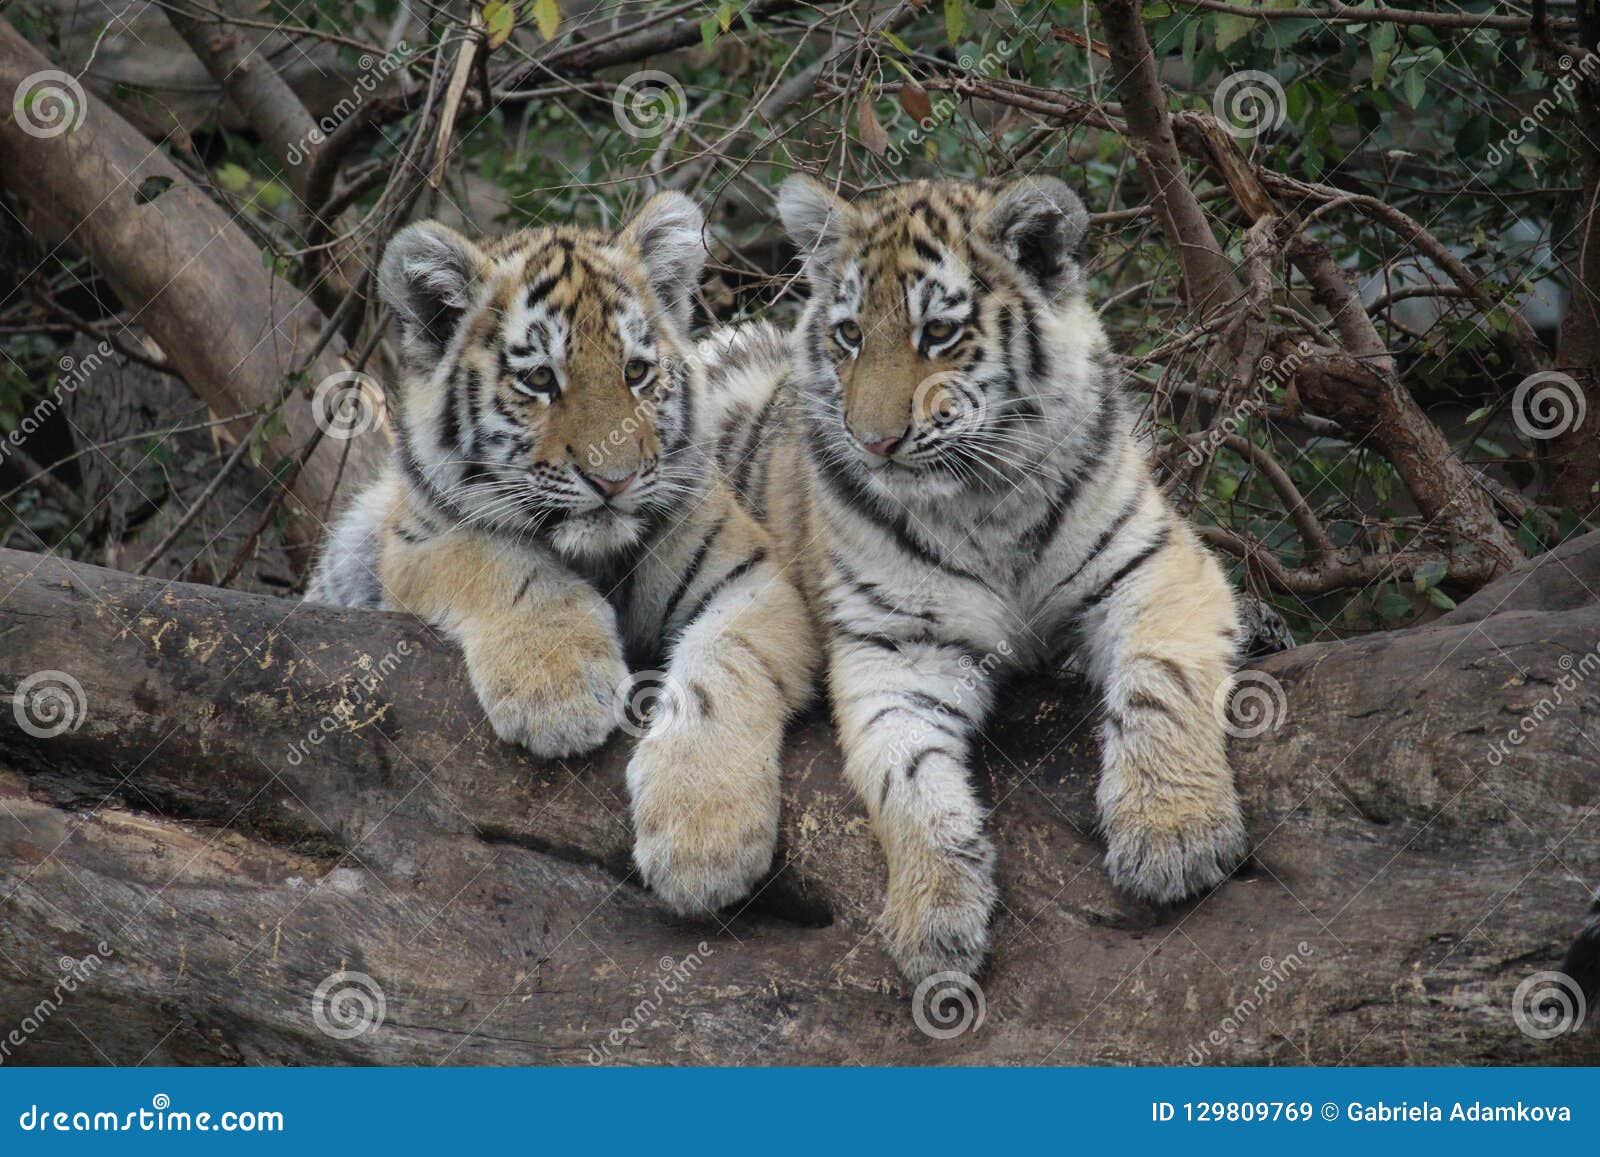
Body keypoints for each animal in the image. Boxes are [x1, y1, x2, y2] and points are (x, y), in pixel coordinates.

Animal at [304, 193, 818, 917]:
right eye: (541, 380)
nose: (615, 479)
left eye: (636, 372)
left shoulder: (755, 576)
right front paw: (559, 692)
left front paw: (703, 840)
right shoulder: (420, 539)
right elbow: (503, 564)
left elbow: (724, 666)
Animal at [705, 175, 1249, 983]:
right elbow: (909, 780)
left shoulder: (1149, 565)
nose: (873, 441)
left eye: (937, 333)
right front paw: (934, 917)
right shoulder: (897, 649)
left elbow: (1162, 683)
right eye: (849, 335)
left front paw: (1174, 836)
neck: (982, 499)